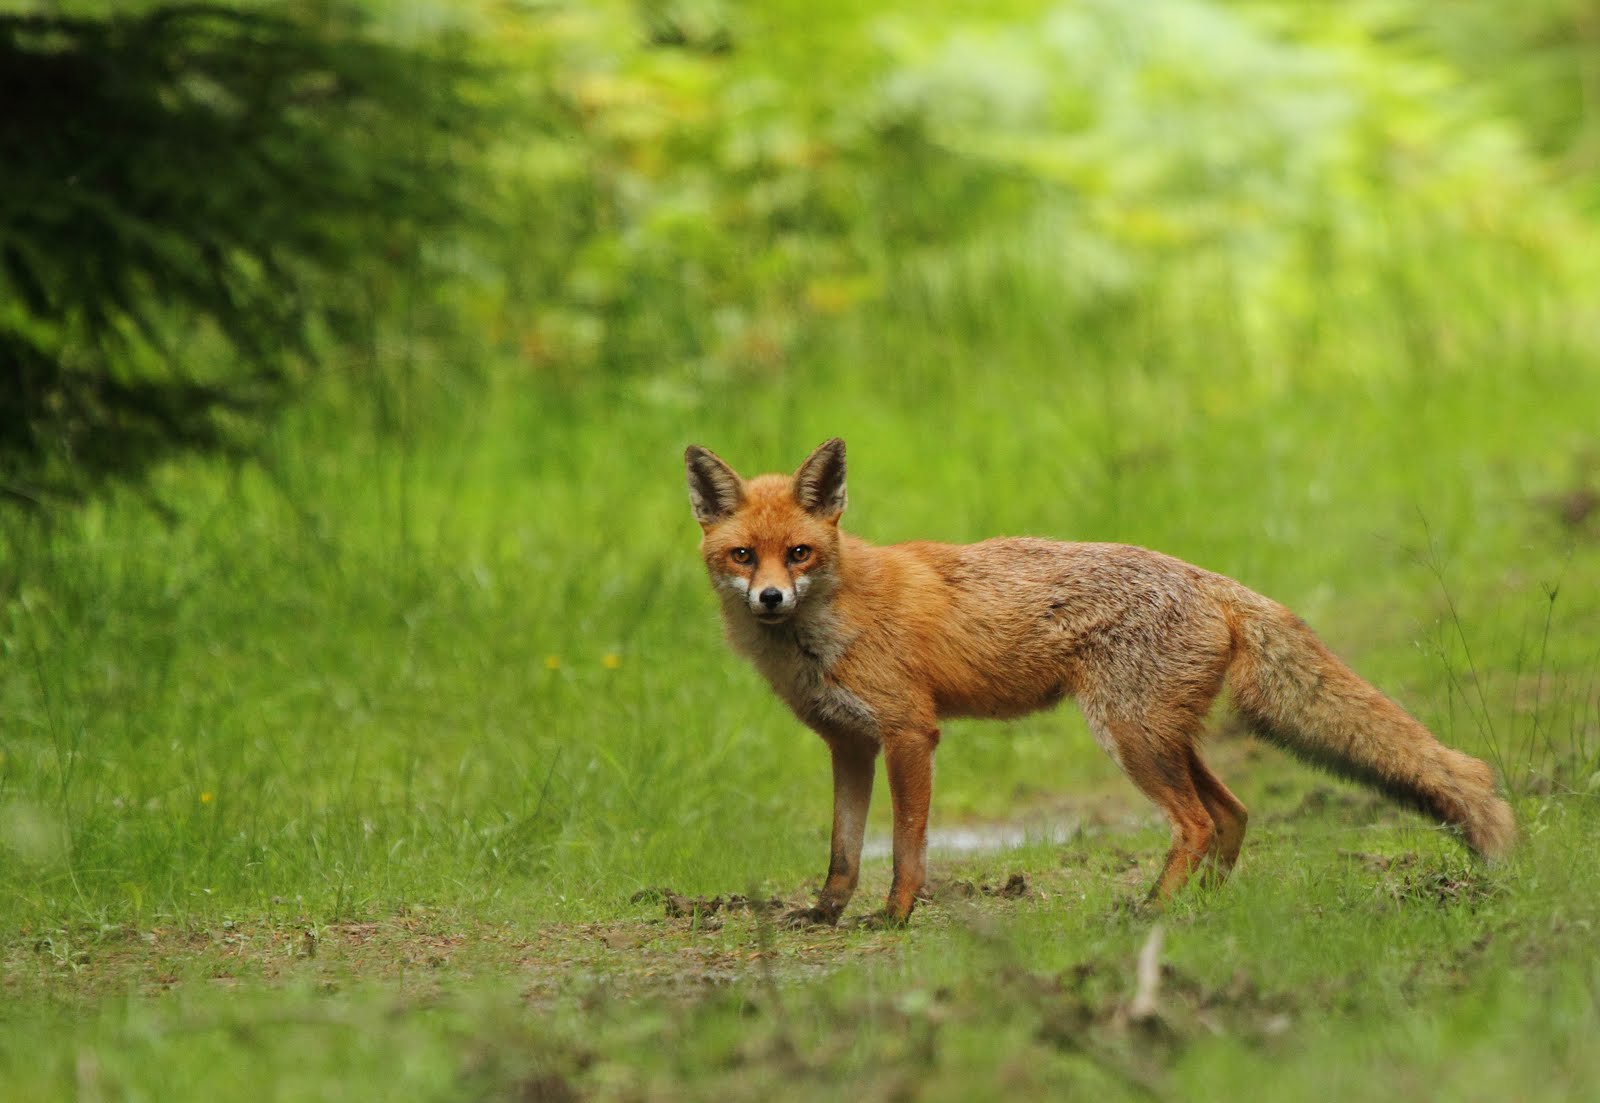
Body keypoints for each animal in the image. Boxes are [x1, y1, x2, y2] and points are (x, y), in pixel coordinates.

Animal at [684, 438, 1515, 925]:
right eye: (741, 556)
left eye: (799, 553)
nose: (770, 598)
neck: (824, 627)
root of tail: (1204, 575)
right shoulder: (849, 743)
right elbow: (843, 846)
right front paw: (825, 912)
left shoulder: (909, 731)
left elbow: (907, 843)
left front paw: (895, 915)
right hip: (1163, 736)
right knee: (1235, 812)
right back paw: (1203, 910)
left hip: (1131, 738)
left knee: (1199, 822)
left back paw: (1151, 910)